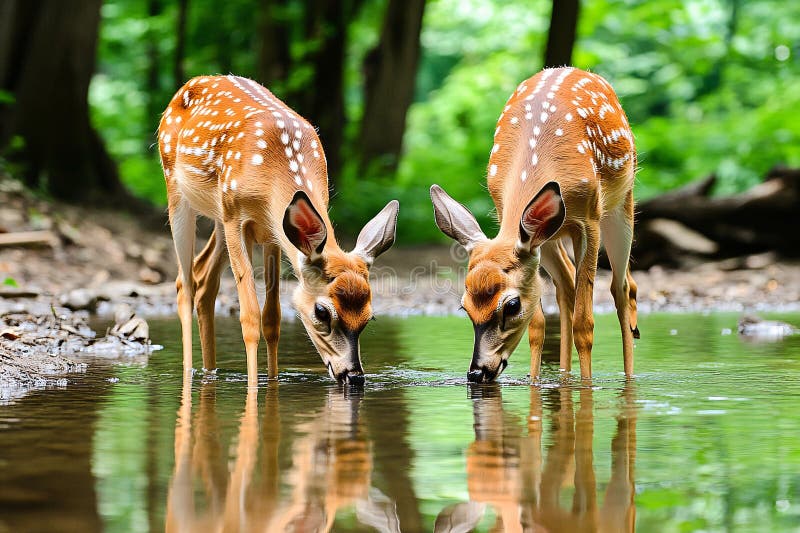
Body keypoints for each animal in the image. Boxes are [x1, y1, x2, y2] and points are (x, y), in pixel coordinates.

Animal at [158, 75, 399, 386]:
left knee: (203, 278)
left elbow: (272, 317)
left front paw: (272, 381)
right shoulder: (235, 217)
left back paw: (210, 371)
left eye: (369, 317)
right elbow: (249, 316)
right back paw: (189, 373)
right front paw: (253, 386)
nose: (354, 376)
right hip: (178, 192)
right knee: (184, 284)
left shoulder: (273, 231)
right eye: (322, 312)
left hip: (218, 217)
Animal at [430, 67, 639, 382]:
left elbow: (584, 324)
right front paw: (535, 382)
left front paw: (587, 385)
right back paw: (563, 375)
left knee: (622, 286)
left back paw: (628, 377)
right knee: (567, 283)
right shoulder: (520, 227)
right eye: (464, 306)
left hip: (620, 205)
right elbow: (537, 325)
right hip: (550, 234)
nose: (477, 372)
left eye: (511, 305)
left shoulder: (589, 218)